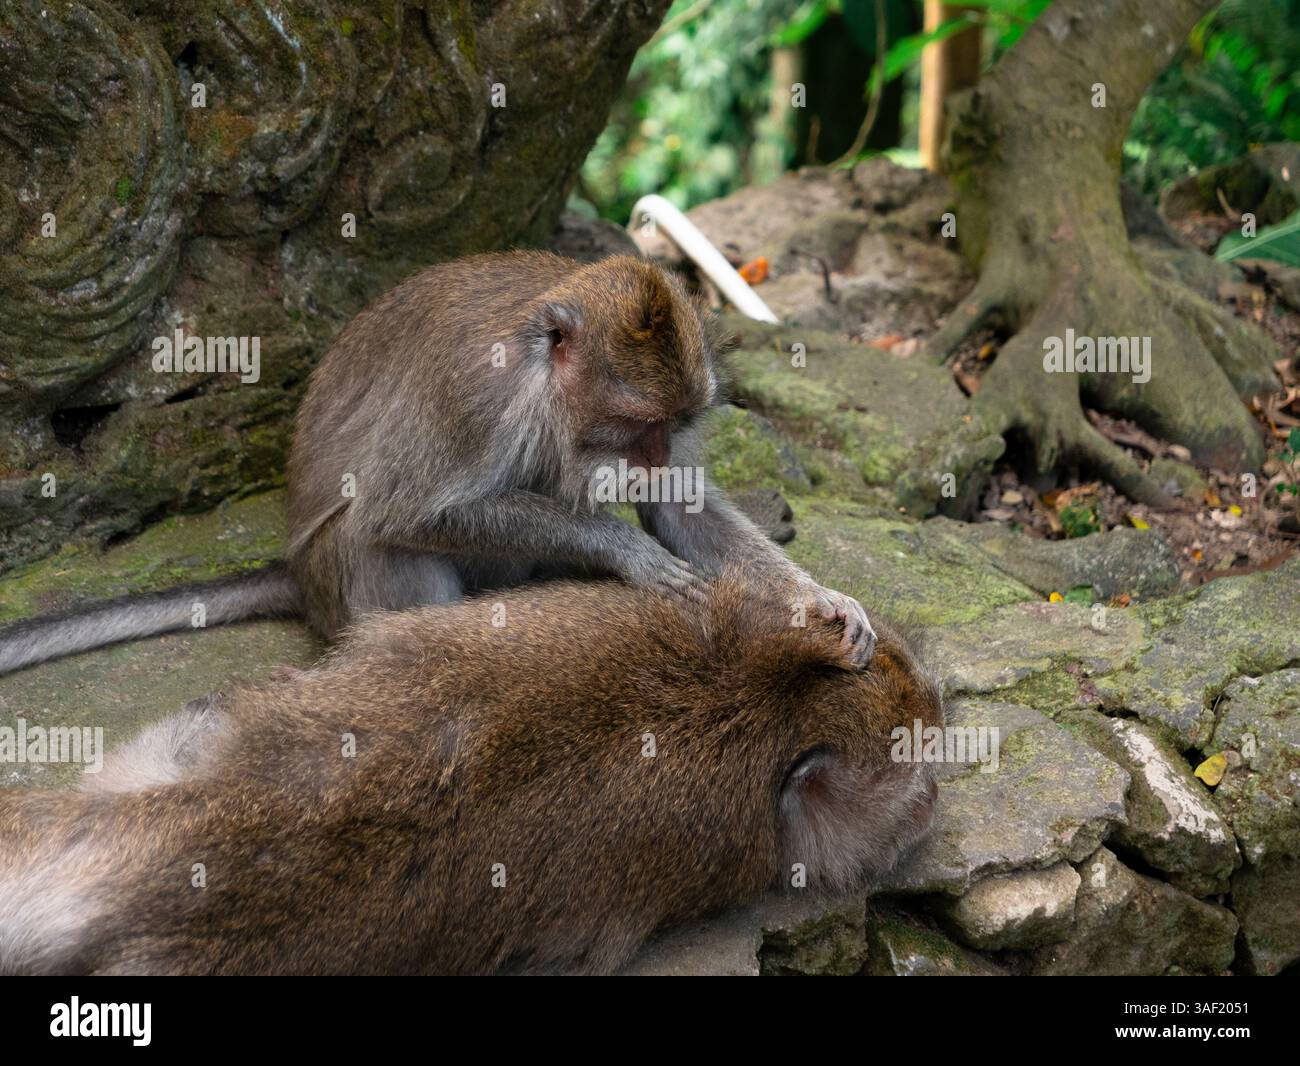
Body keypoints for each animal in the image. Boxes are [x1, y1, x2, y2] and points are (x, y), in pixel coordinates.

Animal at [0, 252, 874, 676]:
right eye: (636, 426)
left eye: (680, 424)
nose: (656, 458)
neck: (544, 378)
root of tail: (296, 574)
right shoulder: (476, 390)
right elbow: (406, 510)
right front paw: (623, 549)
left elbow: (681, 509)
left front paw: (818, 601)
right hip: (340, 579)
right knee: (383, 541)